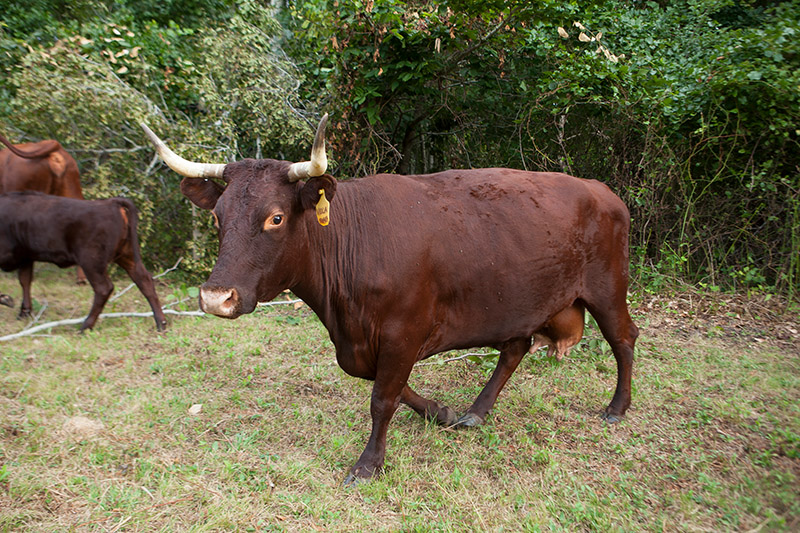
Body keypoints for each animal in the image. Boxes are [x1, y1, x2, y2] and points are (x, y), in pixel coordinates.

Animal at [0, 192, 167, 332]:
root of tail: (111, 203)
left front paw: (7, 300)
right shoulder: (26, 258)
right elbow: (25, 281)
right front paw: (23, 312)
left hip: (91, 261)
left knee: (104, 288)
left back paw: (85, 326)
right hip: (126, 256)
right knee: (144, 280)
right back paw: (161, 323)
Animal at [141, 115, 638, 484]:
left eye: (276, 218)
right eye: (218, 216)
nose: (215, 297)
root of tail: (601, 190)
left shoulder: (404, 330)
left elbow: (382, 397)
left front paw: (368, 464)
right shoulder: (364, 342)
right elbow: (387, 385)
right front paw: (440, 412)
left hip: (607, 286)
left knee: (623, 337)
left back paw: (616, 408)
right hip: (517, 302)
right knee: (515, 347)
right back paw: (475, 413)